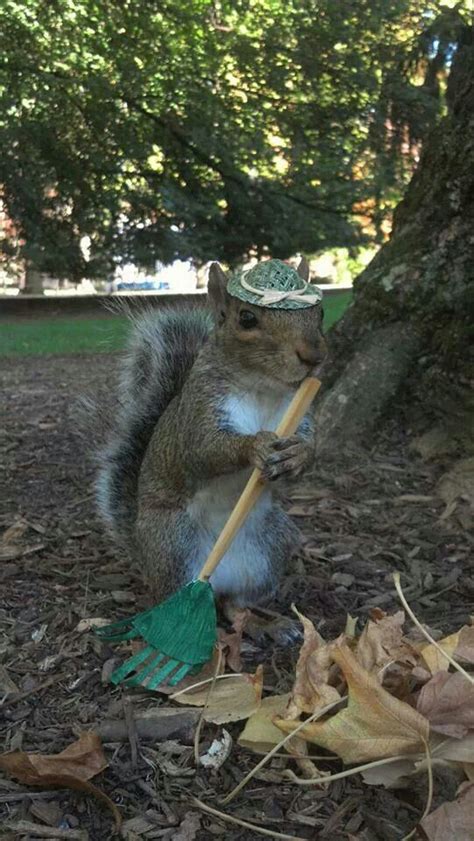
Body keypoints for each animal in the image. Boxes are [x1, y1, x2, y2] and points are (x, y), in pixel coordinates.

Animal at [94, 259, 327, 631]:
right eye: (247, 318)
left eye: (320, 312)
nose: (314, 356)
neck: (263, 388)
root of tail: (216, 581)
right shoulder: (199, 412)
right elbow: (205, 450)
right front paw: (256, 445)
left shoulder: (300, 412)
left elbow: (310, 446)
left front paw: (298, 455)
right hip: (174, 547)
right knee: (176, 599)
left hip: (272, 545)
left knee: (236, 607)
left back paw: (269, 626)